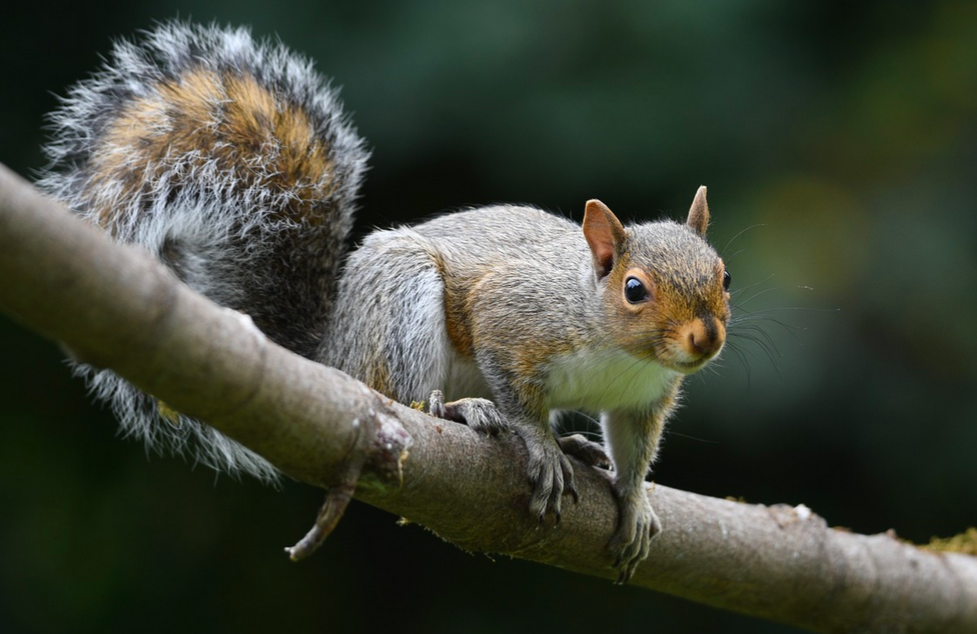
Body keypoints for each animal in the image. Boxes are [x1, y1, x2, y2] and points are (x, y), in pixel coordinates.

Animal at [37, 22, 730, 582]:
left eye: (723, 276)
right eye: (634, 289)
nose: (706, 338)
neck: (620, 351)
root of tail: (331, 357)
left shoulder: (644, 399)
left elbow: (636, 447)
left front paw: (635, 500)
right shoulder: (515, 314)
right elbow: (513, 381)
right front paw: (538, 442)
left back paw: (576, 446)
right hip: (402, 299)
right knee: (404, 396)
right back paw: (463, 411)